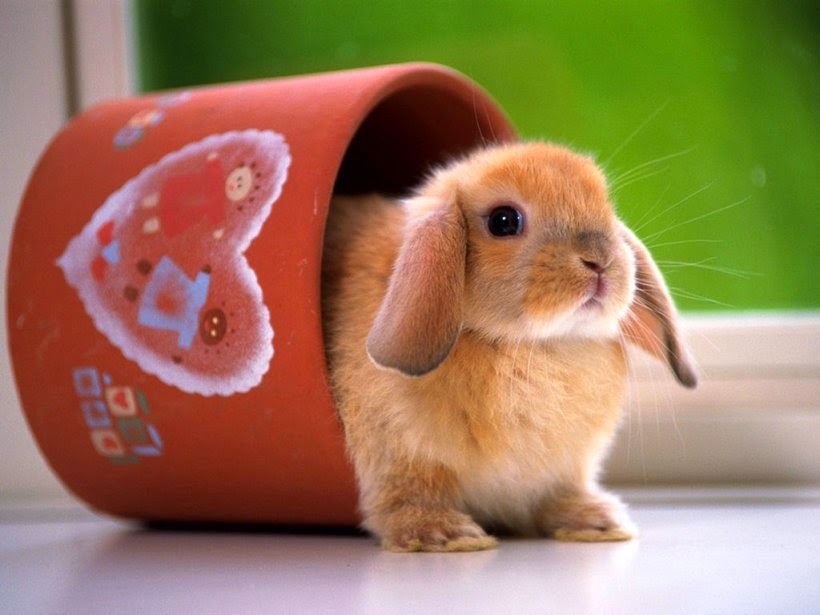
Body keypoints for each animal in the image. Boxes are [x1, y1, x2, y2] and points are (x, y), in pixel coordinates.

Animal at [321, 141, 697, 552]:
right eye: (504, 221)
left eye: (606, 207)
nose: (600, 261)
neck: (528, 345)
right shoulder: (401, 458)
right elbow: (405, 497)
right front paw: (448, 535)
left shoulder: (562, 471)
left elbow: (557, 496)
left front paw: (599, 522)